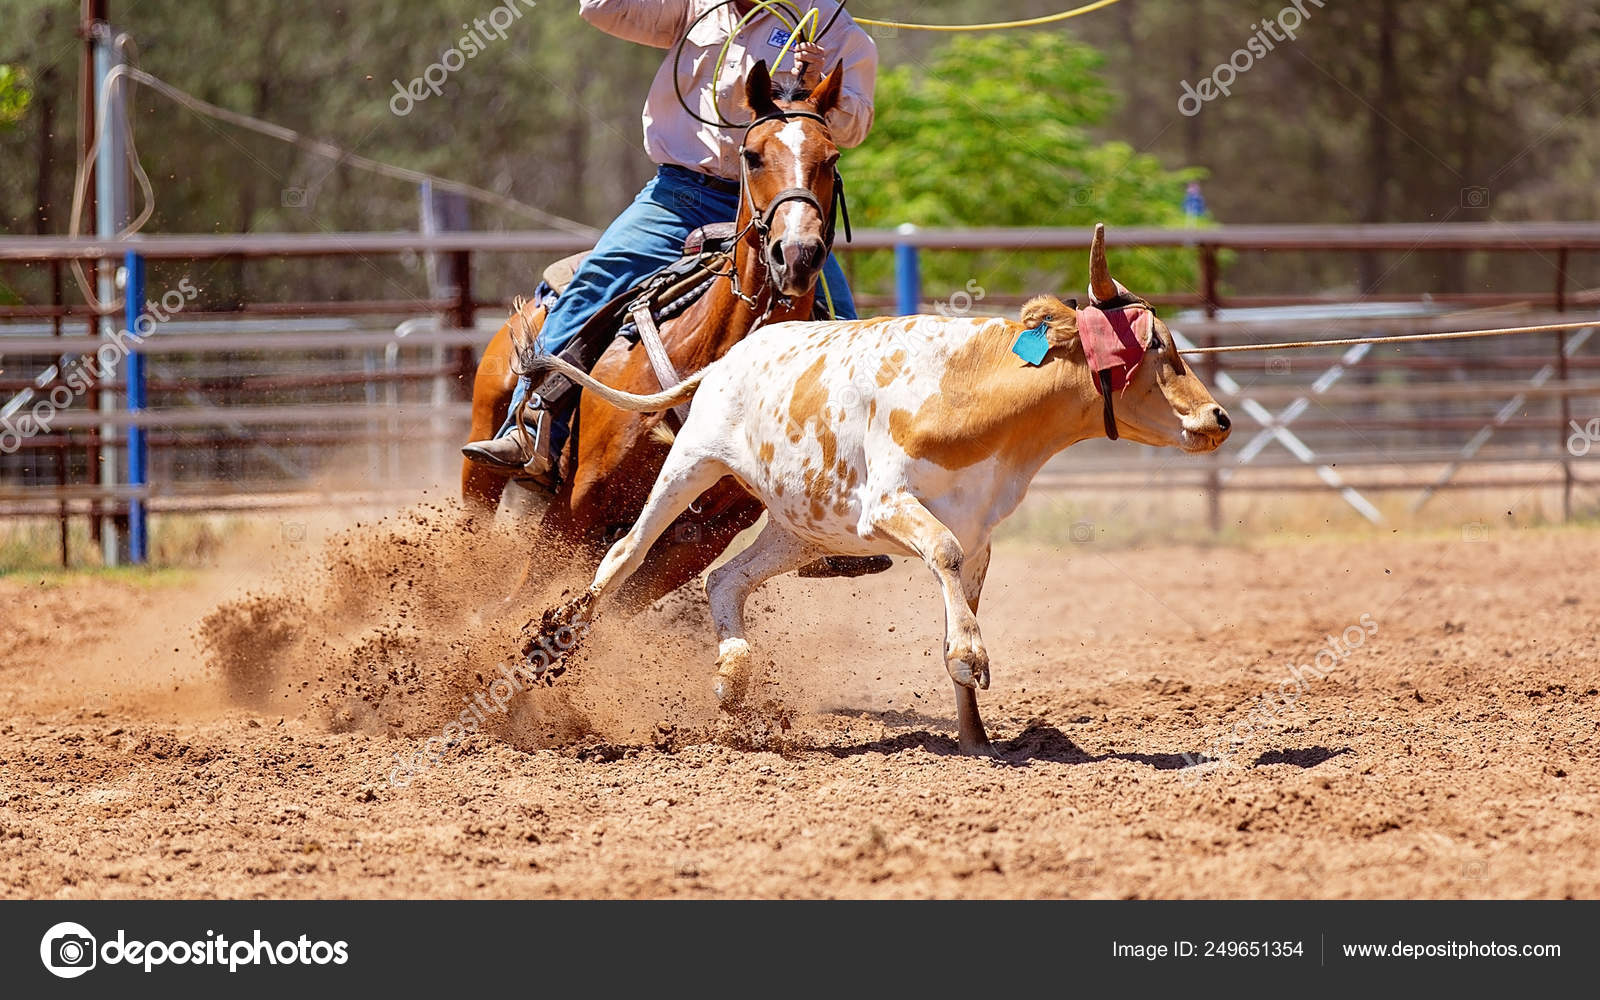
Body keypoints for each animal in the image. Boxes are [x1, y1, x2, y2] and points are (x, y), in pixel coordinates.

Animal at [521, 224, 1232, 755]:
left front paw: (975, 734)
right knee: (625, 555)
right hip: (691, 464)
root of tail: (725, 362)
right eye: (1157, 348)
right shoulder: (889, 507)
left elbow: (958, 590)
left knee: (725, 579)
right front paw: (972, 655)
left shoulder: (979, 536)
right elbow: (942, 556)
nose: (1218, 418)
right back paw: (545, 650)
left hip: (802, 529)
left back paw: (732, 677)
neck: (971, 393)